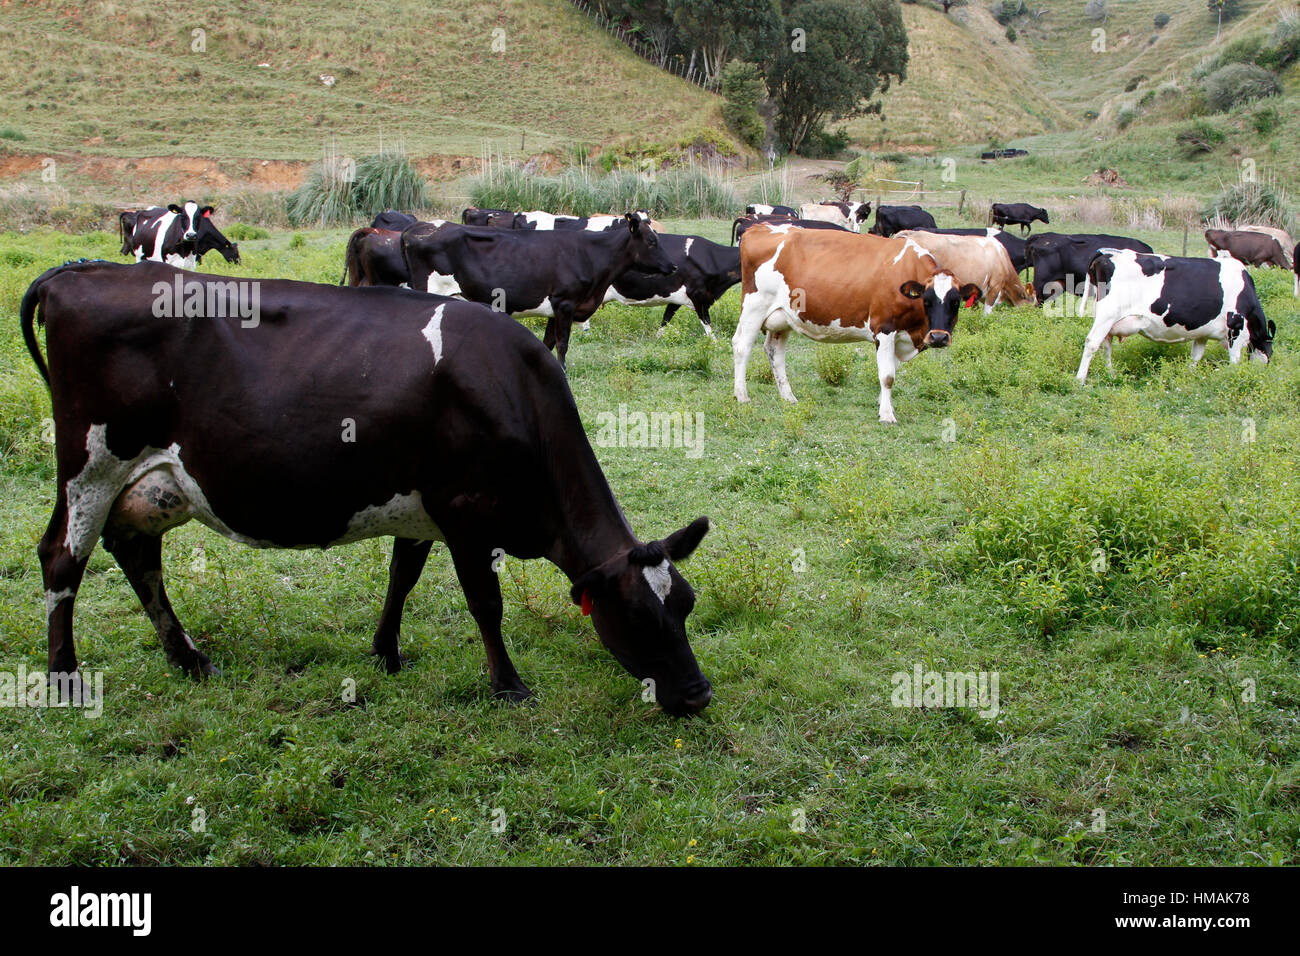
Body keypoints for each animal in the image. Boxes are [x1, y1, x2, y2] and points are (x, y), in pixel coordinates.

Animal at [20, 260, 714, 716]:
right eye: (638, 615)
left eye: (685, 604)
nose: (699, 692)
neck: (512, 389)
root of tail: (78, 272)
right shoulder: (466, 515)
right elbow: (485, 604)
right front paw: (508, 685)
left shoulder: (422, 508)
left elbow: (401, 577)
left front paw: (385, 653)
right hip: (91, 465)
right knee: (63, 559)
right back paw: (64, 676)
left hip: (154, 484)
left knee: (137, 555)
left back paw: (188, 659)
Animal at [402, 212, 676, 368]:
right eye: (652, 241)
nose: (673, 265)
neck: (591, 255)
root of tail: (418, 228)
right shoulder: (565, 302)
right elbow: (563, 343)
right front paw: (563, 371)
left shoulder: (556, 309)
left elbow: (548, 343)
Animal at [602, 234, 741, 339]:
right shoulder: (697, 295)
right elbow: (706, 323)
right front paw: (715, 344)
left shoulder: (678, 298)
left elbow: (666, 318)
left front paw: (657, 338)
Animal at [733, 224, 981, 423]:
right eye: (926, 301)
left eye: (956, 302)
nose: (939, 337)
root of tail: (759, 227)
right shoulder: (884, 328)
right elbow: (888, 376)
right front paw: (887, 415)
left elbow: (891, 372)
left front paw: (882, 405)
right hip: (754, 306)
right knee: (742, 346)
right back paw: (742, 396)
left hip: (784, 317)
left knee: (775, 352)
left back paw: (788, 397)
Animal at [1076, 249, 1274, 381]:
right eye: (1270, 352)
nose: (1262, 373)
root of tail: (1105, 254)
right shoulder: (1236, 327)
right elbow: (1235, 360)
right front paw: (1234, 376)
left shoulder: (1202, 333)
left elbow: (1196, 356)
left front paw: (1189, 375)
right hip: (1107, 315)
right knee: (1092, 343)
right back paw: (1080, 380)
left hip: (1107, 319)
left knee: (1106, 344)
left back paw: (1111, 373)